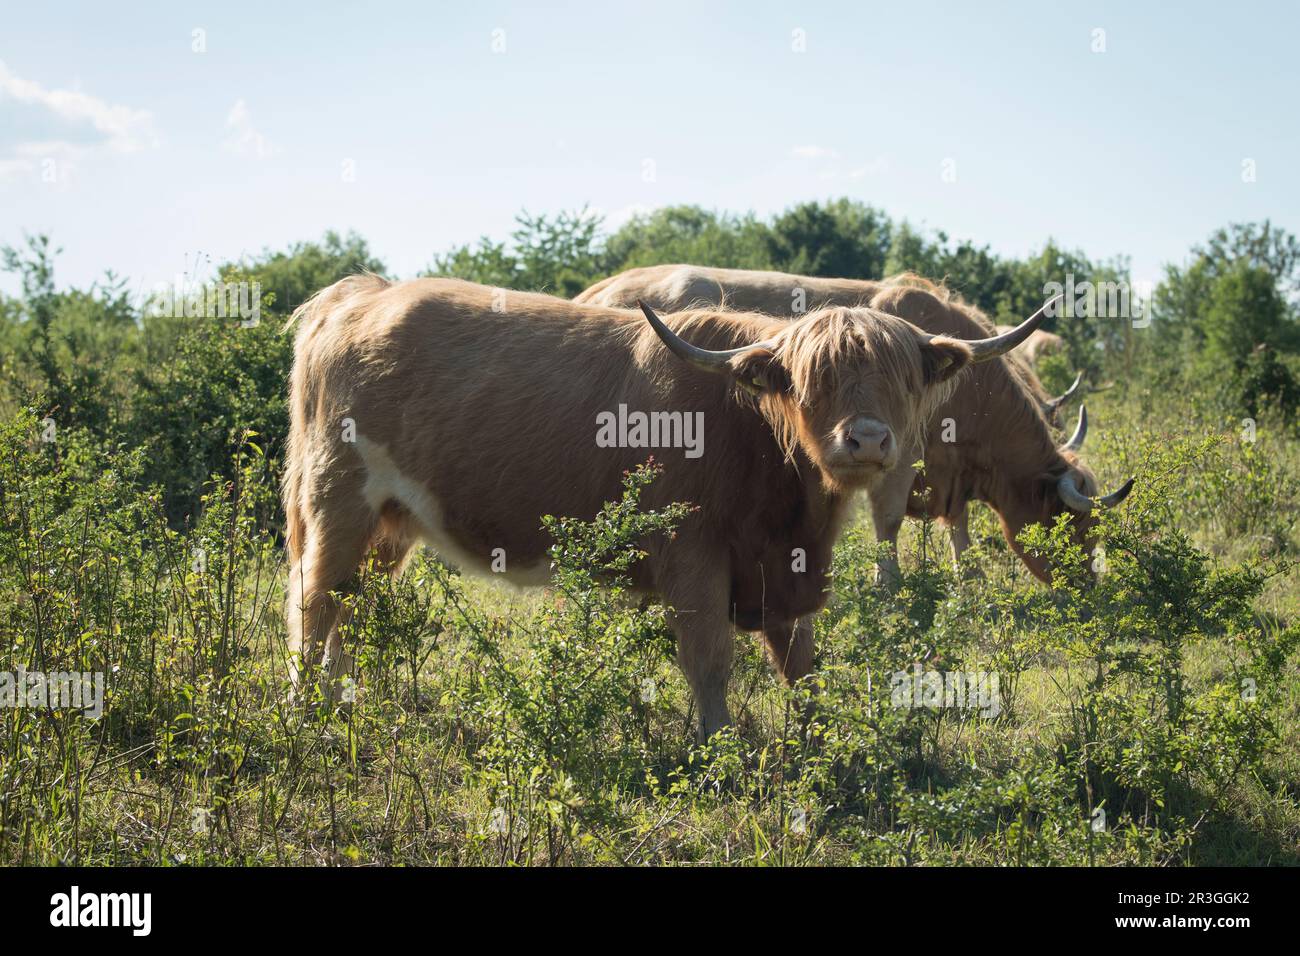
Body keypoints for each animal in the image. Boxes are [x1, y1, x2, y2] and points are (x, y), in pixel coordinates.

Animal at [283, 274, 1049, 738]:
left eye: (900, 376)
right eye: (815, 377)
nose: (865, 439)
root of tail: (355, 294)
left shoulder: (787, 570)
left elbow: (801, 660)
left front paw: (821, 738)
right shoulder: (694, 555)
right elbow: (709, 658)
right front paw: (719, 746)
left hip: (392, 522)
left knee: (352, 609)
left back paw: (344, 703)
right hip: (337, 503)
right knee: (316, 604)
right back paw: (302, 708)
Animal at [576, 264, 1133, 586]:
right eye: (1072, 524)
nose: (1090, 584)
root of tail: (598, 290)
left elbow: (960, 529)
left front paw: (969, 584)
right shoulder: (901, 456)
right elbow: (888, 524)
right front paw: (890, 590)